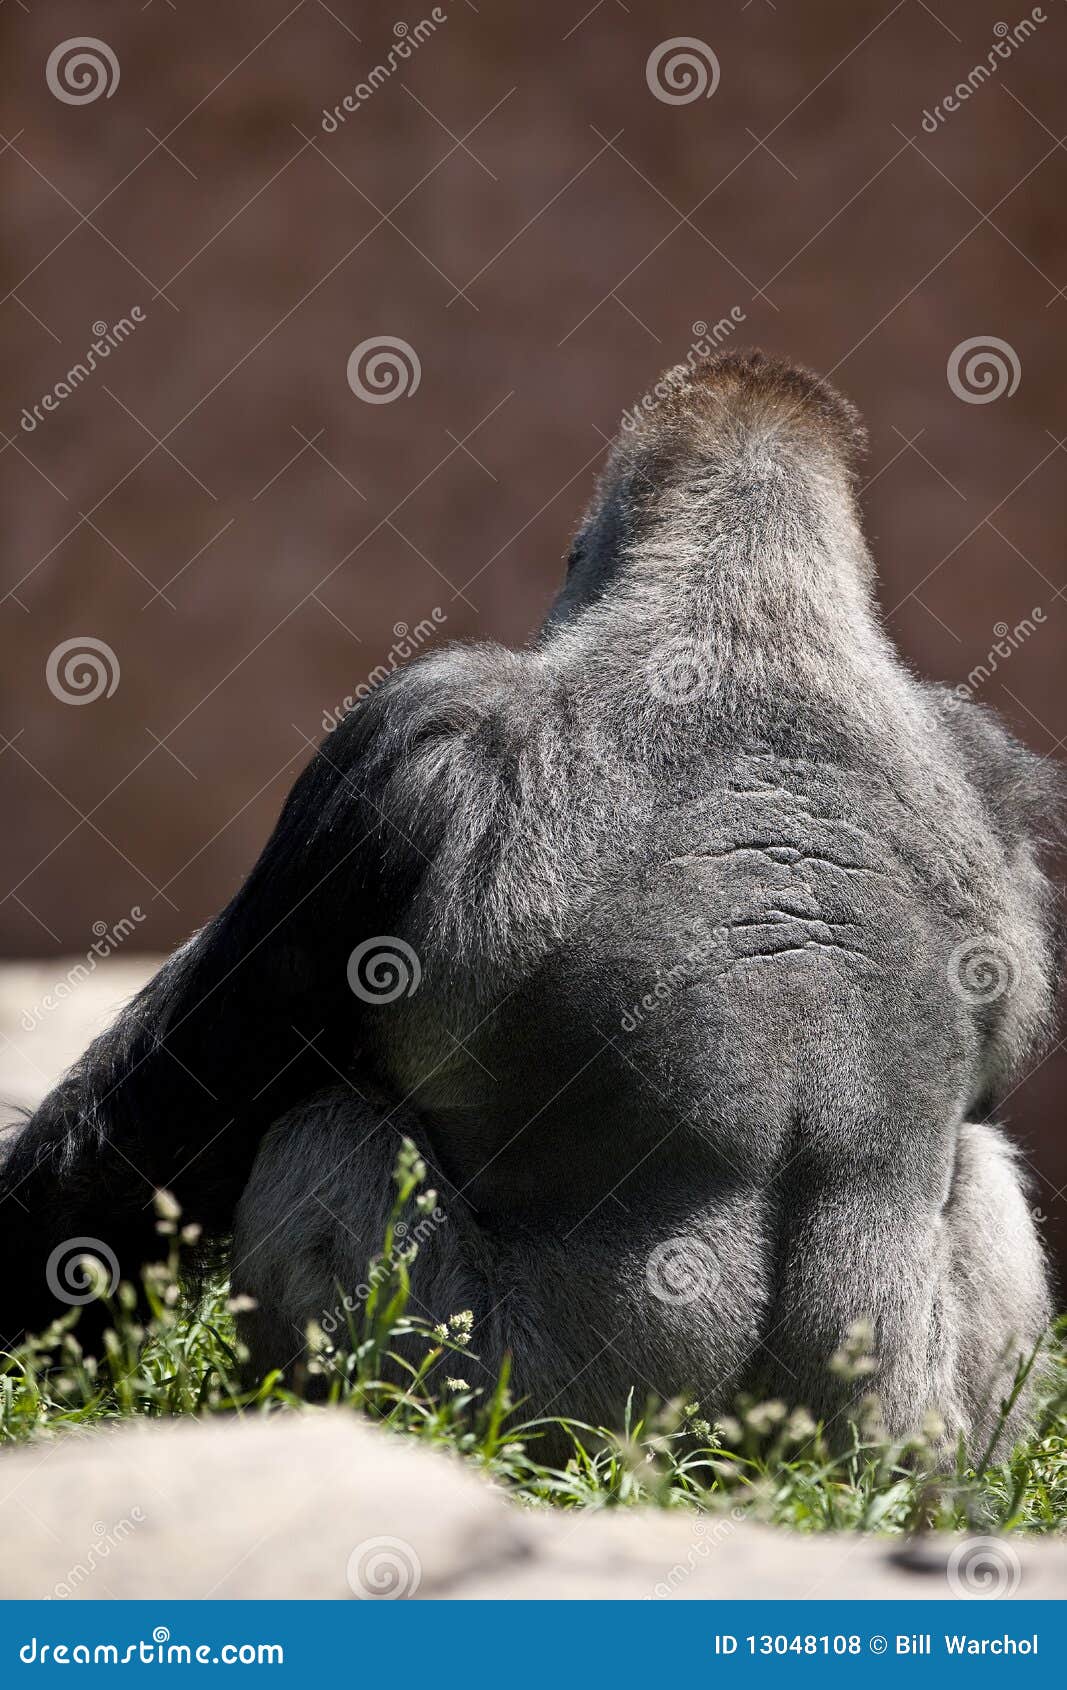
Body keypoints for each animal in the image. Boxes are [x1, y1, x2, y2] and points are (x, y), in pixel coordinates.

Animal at [0, 351, 1058, 1455]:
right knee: (982, 1161)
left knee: (325, 1135)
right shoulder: (994, 763)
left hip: (523, 1416)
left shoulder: (410, 731)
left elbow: (151, 1130)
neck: (751, 615)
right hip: (891, 1433)